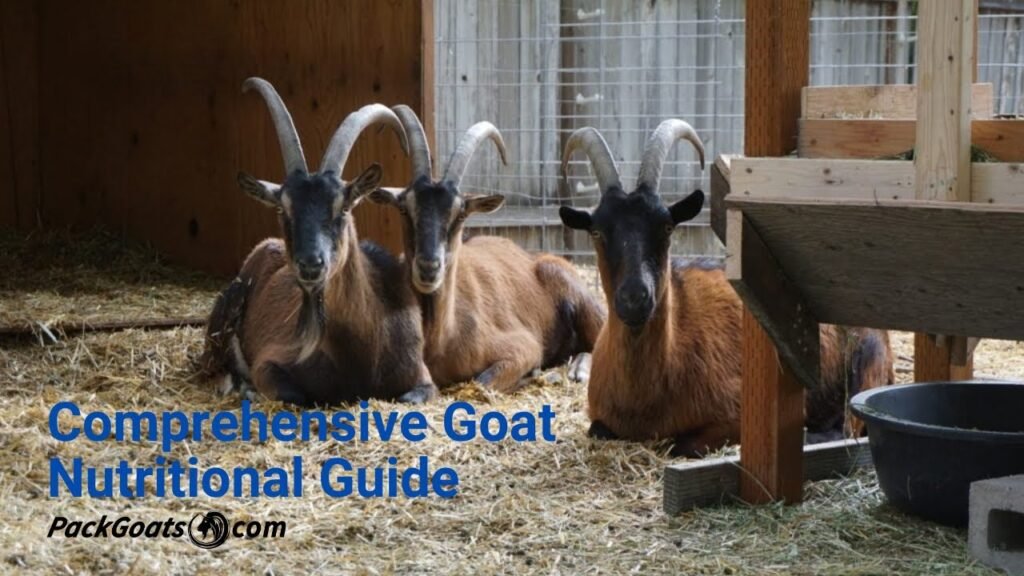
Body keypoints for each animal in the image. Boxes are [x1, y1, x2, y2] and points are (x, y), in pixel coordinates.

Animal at [199, 78, 437, 406]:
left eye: (343, 207)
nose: (311, 265)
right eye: (283, 209)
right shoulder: (270, 361)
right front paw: (250, 390)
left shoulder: (422, 377)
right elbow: (297, 395)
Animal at [368, 106, 606, 392]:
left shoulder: (523, 346)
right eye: (404, 208)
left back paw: (576, 370)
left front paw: (538, 373)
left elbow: (483, 381)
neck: (442, 338)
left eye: (460, 213)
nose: (428, 267)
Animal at [558, 121, 893, 456]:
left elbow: (681, 444)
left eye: (667, 227)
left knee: (847, 427)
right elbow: (597, 429)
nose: (635, 299)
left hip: (865, 366)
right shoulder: (600, 416)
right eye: (597, 232)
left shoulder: (736, 416)